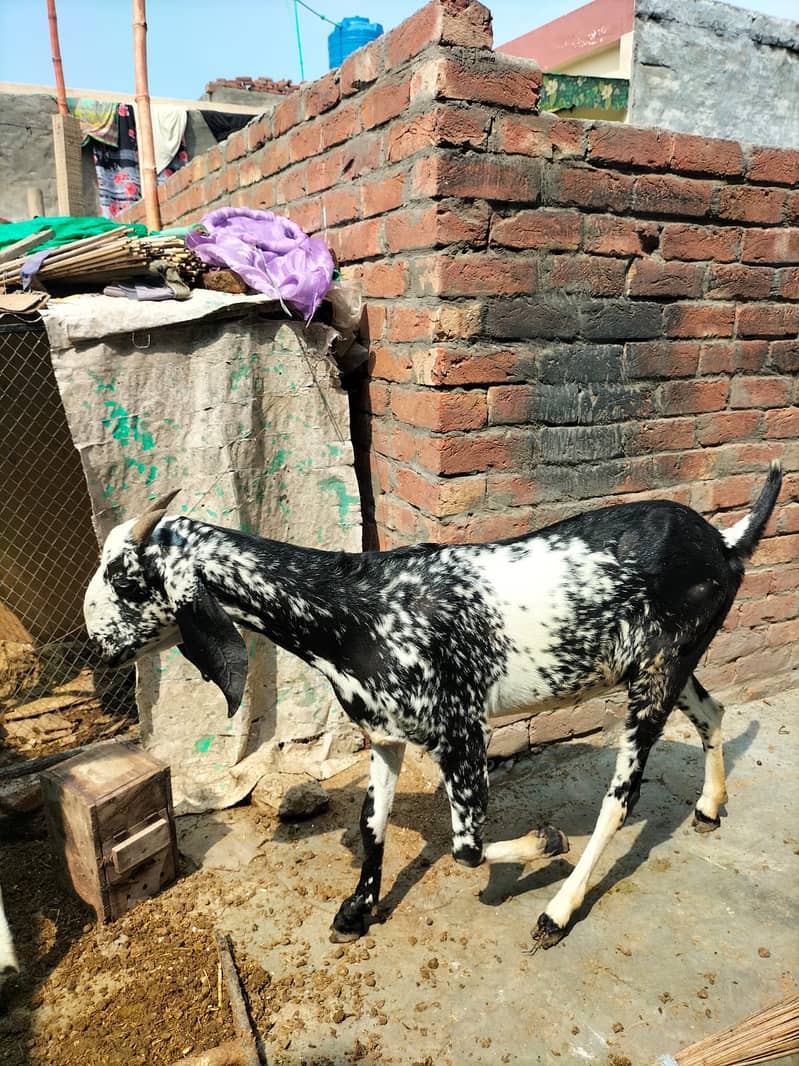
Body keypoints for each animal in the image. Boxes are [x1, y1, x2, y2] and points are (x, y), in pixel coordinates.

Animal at [83, 462, 782, 948]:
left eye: (125, 579)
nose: (95, 643)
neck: (359, 610)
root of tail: (725, 543)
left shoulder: (461, 730)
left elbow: (465, 849)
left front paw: (545, 840)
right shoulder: (387, 735)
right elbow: (371, 826)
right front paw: (355, 911)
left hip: (655, 680)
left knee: (622, 797)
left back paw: (558, 911)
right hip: (667, 667)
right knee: (714, 714)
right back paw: (710, 806)